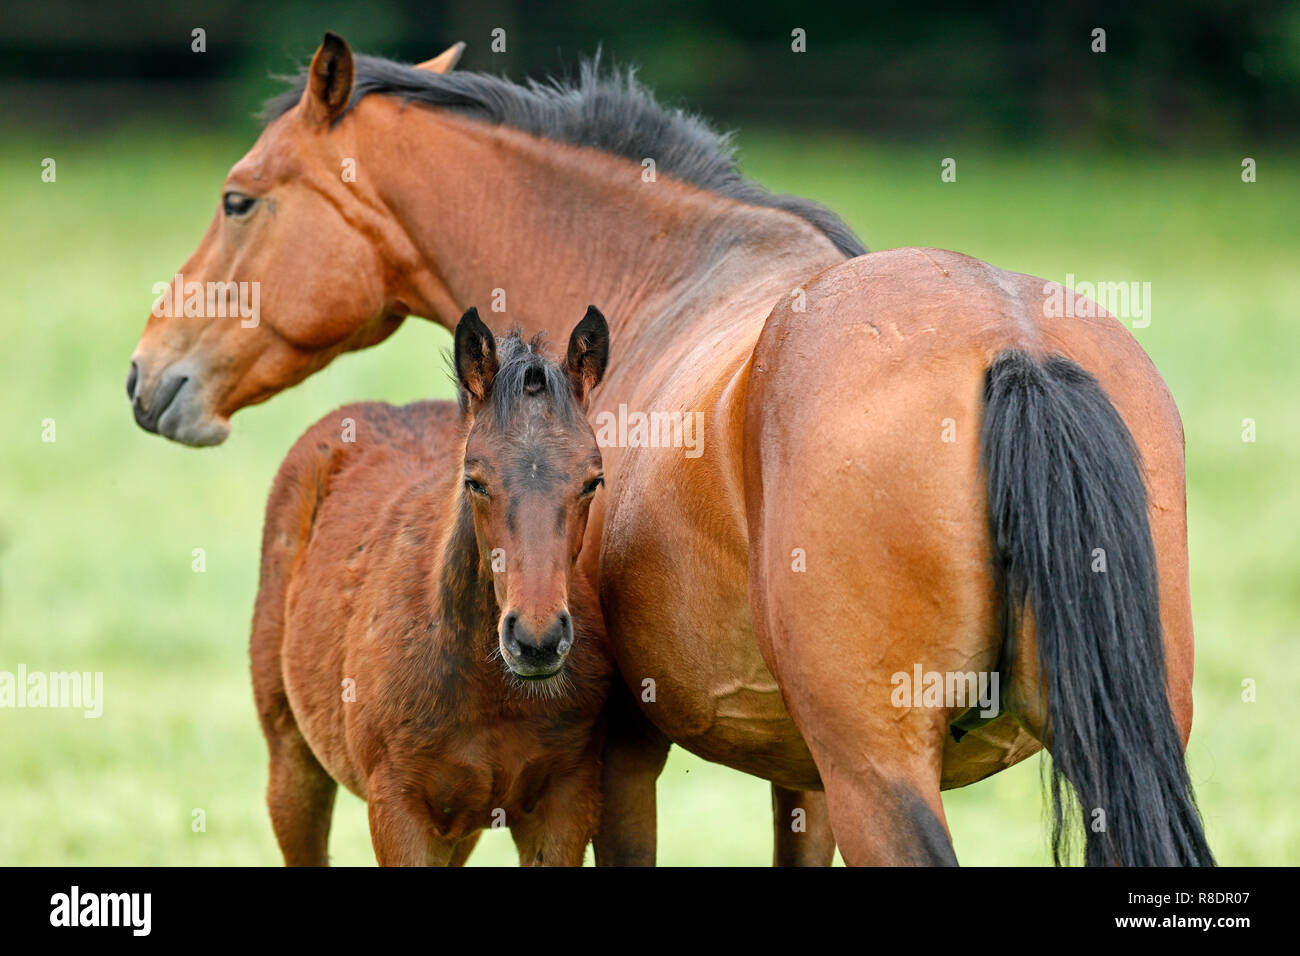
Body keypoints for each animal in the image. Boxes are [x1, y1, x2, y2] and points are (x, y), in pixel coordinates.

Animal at [249, 305, 614, 865]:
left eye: (593, 479)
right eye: (475, 479)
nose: (536, 641)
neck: (491, 691)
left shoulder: (565, 801)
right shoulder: (399, 809)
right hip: (291, 758)